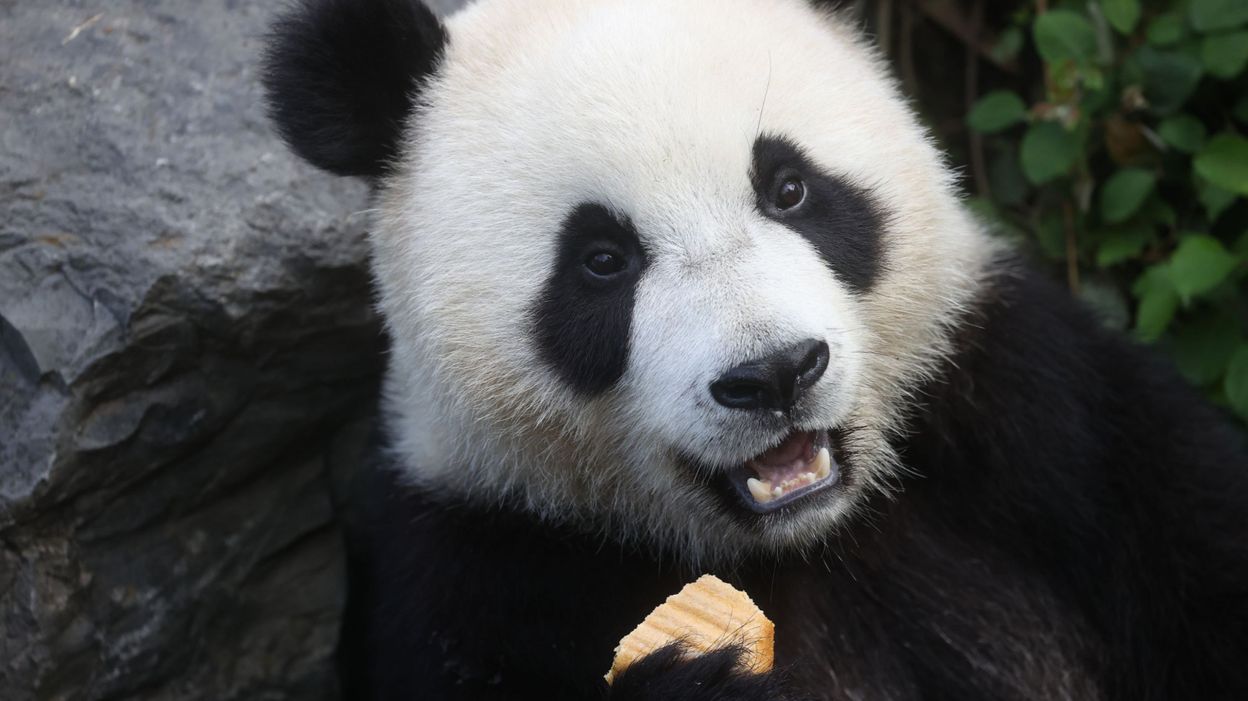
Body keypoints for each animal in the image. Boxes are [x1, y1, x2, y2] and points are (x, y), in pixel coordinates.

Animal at [262, 0, 1248, 698]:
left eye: (789, 188)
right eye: (601, 260)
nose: (774, 372)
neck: (808, 542)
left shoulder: (1032, 409)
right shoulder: (479, 555)